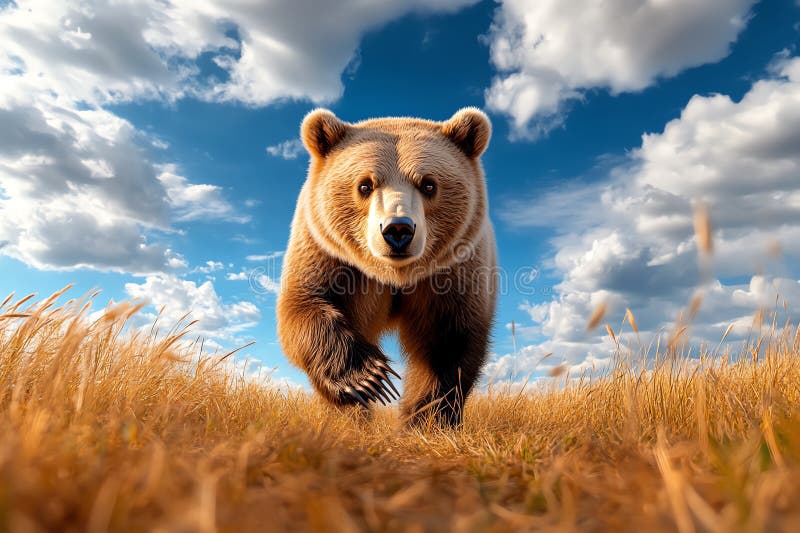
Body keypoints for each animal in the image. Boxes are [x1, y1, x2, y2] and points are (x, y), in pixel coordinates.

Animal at [276, 107, 497, 427]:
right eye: (365, 185)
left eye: (428, 184)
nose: (398, 230)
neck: (394, 275)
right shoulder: (327, 252)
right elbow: (305, 305)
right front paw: (368, 378)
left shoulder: (454, 269)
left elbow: (446, 343)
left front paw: (426, 419)